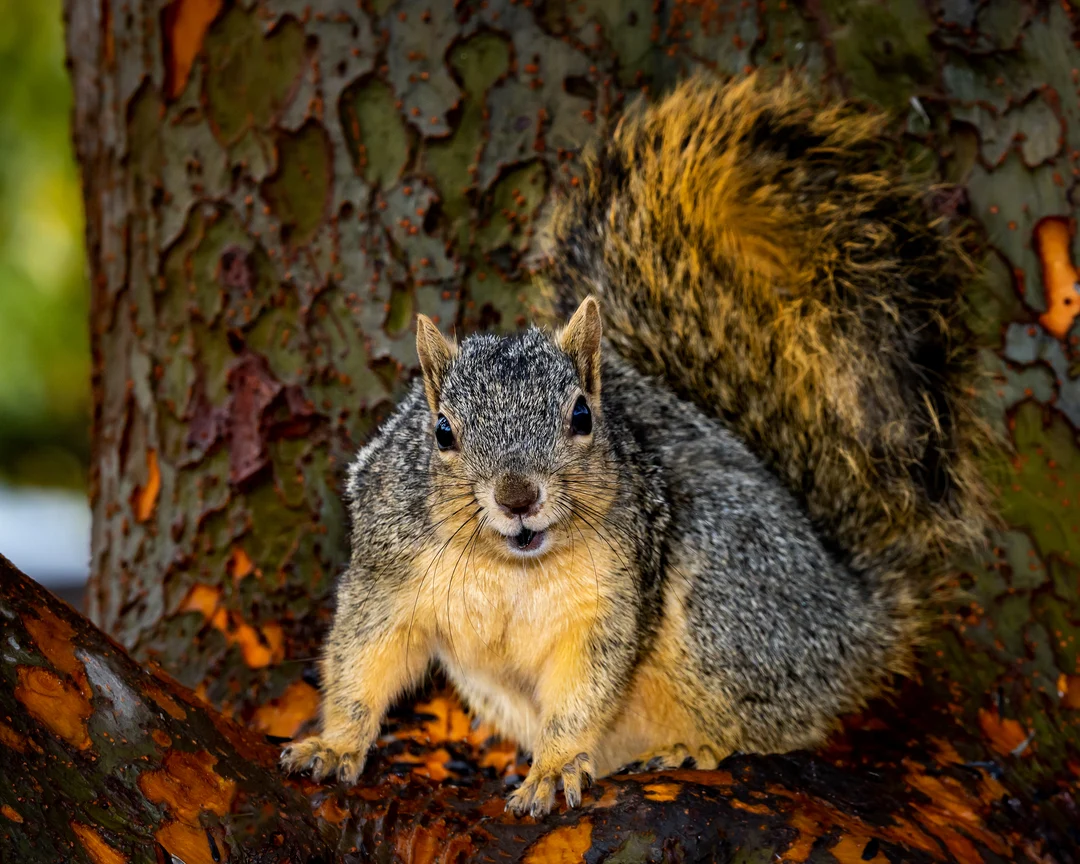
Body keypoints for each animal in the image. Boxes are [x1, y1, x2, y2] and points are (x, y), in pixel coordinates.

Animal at [281, 72, 991, 817]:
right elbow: (363, 660)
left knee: (775, 726)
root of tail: (857, 613)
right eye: (443, 430)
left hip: (727, 606)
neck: (510, 567)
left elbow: (581, 690)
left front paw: (555, 766)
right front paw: (333, 745)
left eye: (583, 417)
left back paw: (693, 750)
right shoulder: (387, 574)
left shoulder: (610, 602)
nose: (518, 497)